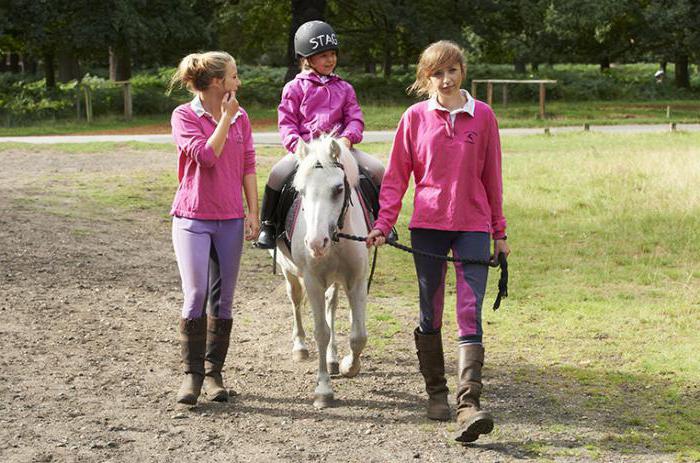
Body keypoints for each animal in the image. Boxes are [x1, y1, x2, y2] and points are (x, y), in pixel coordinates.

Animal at [274, 135, 372, 410]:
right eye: (300, 191)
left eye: (338, 188)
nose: (316, 243)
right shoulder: (313, 281)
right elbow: (321, 333)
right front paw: (323, 390)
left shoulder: (357, 280)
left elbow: (358, 335)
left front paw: (349, 365)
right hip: (290, 273)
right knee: (295, 301)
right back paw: (300, 347)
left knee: (332, 305)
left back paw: (333, 359)